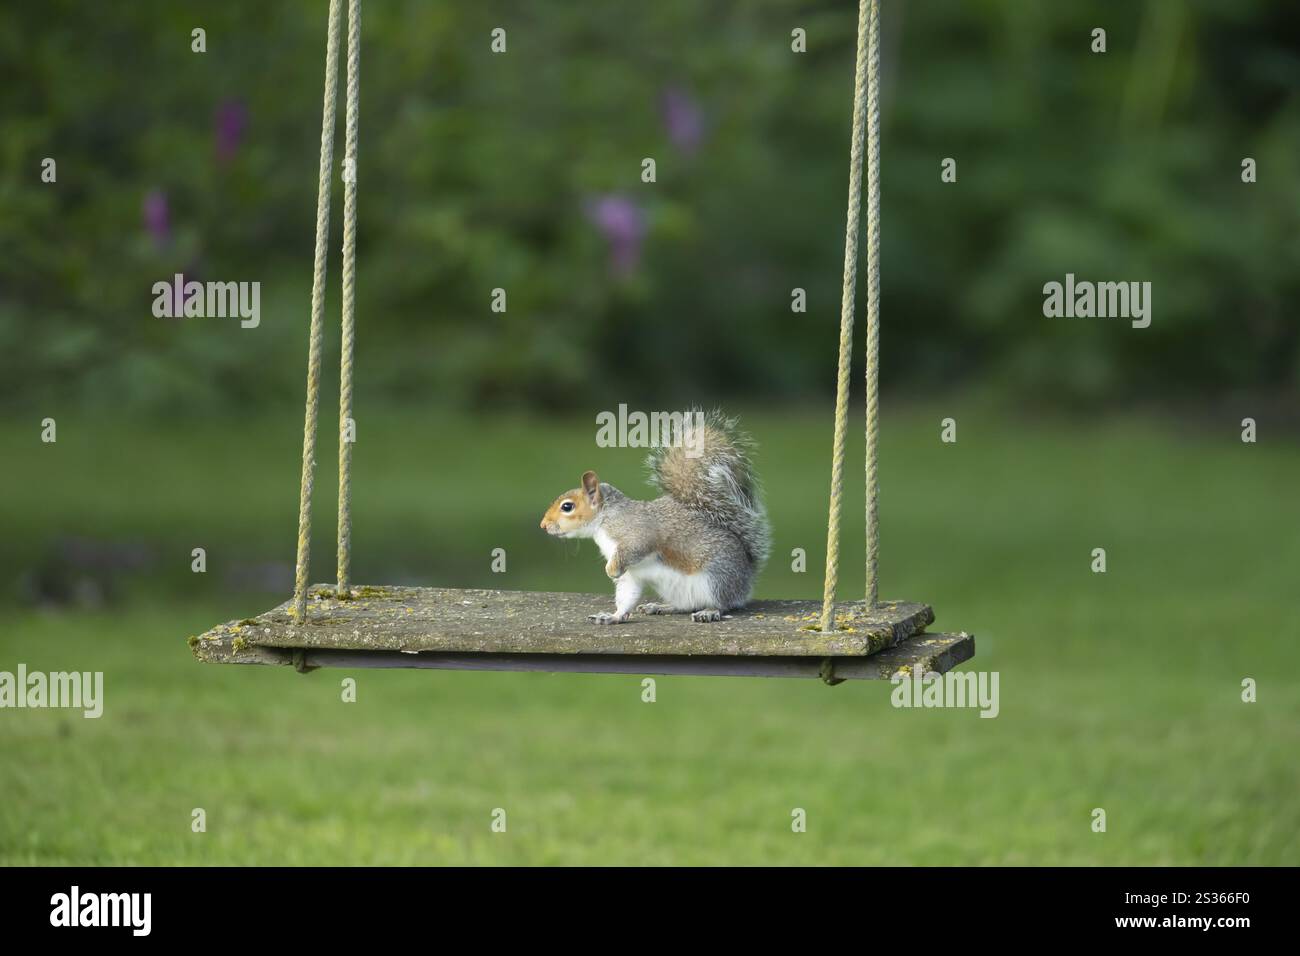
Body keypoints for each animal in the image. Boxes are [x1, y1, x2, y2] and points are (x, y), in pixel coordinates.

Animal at [539, 410, 771, 624]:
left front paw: (611, 570)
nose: (543, 525)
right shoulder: (631, 574)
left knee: (723, 603)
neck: (605, 520)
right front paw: (613, 616)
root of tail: (747, 577)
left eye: (567, 506)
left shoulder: (637, 534)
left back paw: (709, 611)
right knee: (687, 605)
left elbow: (637, 546)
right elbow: (627, 595)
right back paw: (661, 607)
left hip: (717, 577)